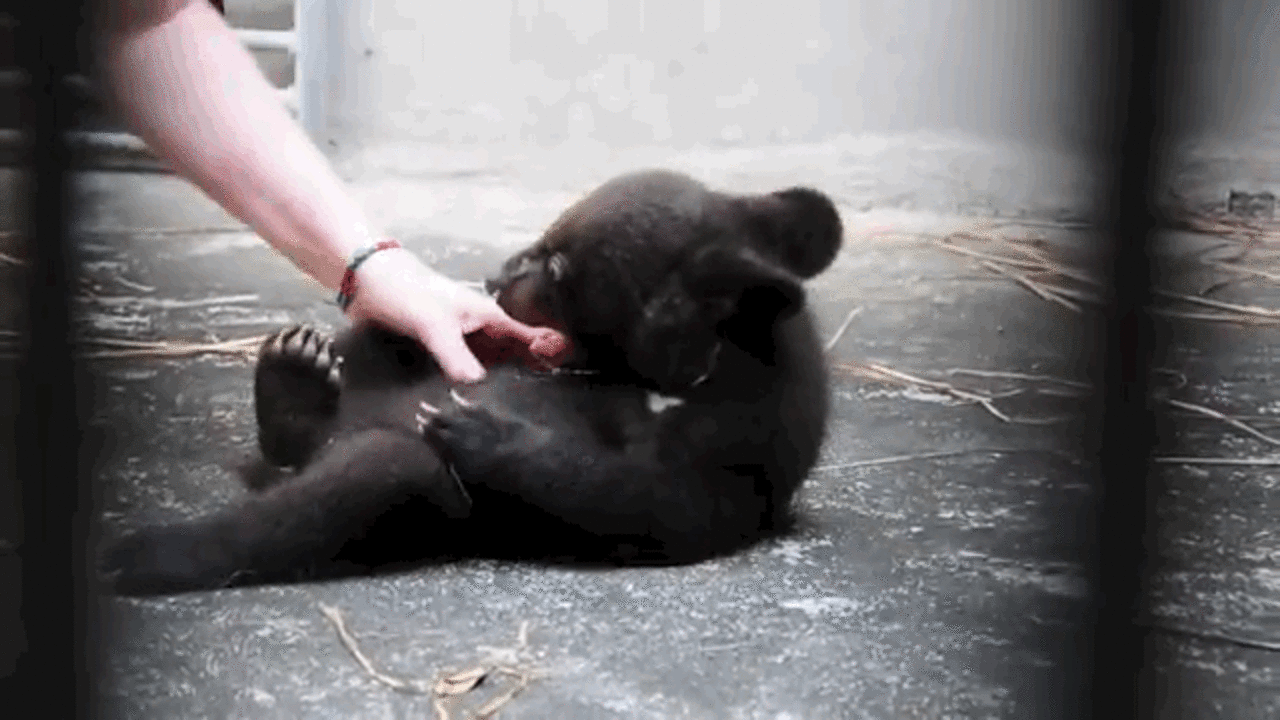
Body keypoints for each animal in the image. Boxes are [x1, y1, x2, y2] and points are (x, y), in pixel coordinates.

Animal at [100, 169, 844, 595]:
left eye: (561, 267)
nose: (493, 276)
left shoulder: (728, 461)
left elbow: (635, 493)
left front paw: (474, 427)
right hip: (389, 341)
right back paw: (295, 377)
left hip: (420, 493)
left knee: (336, 487)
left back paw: (141, 553)